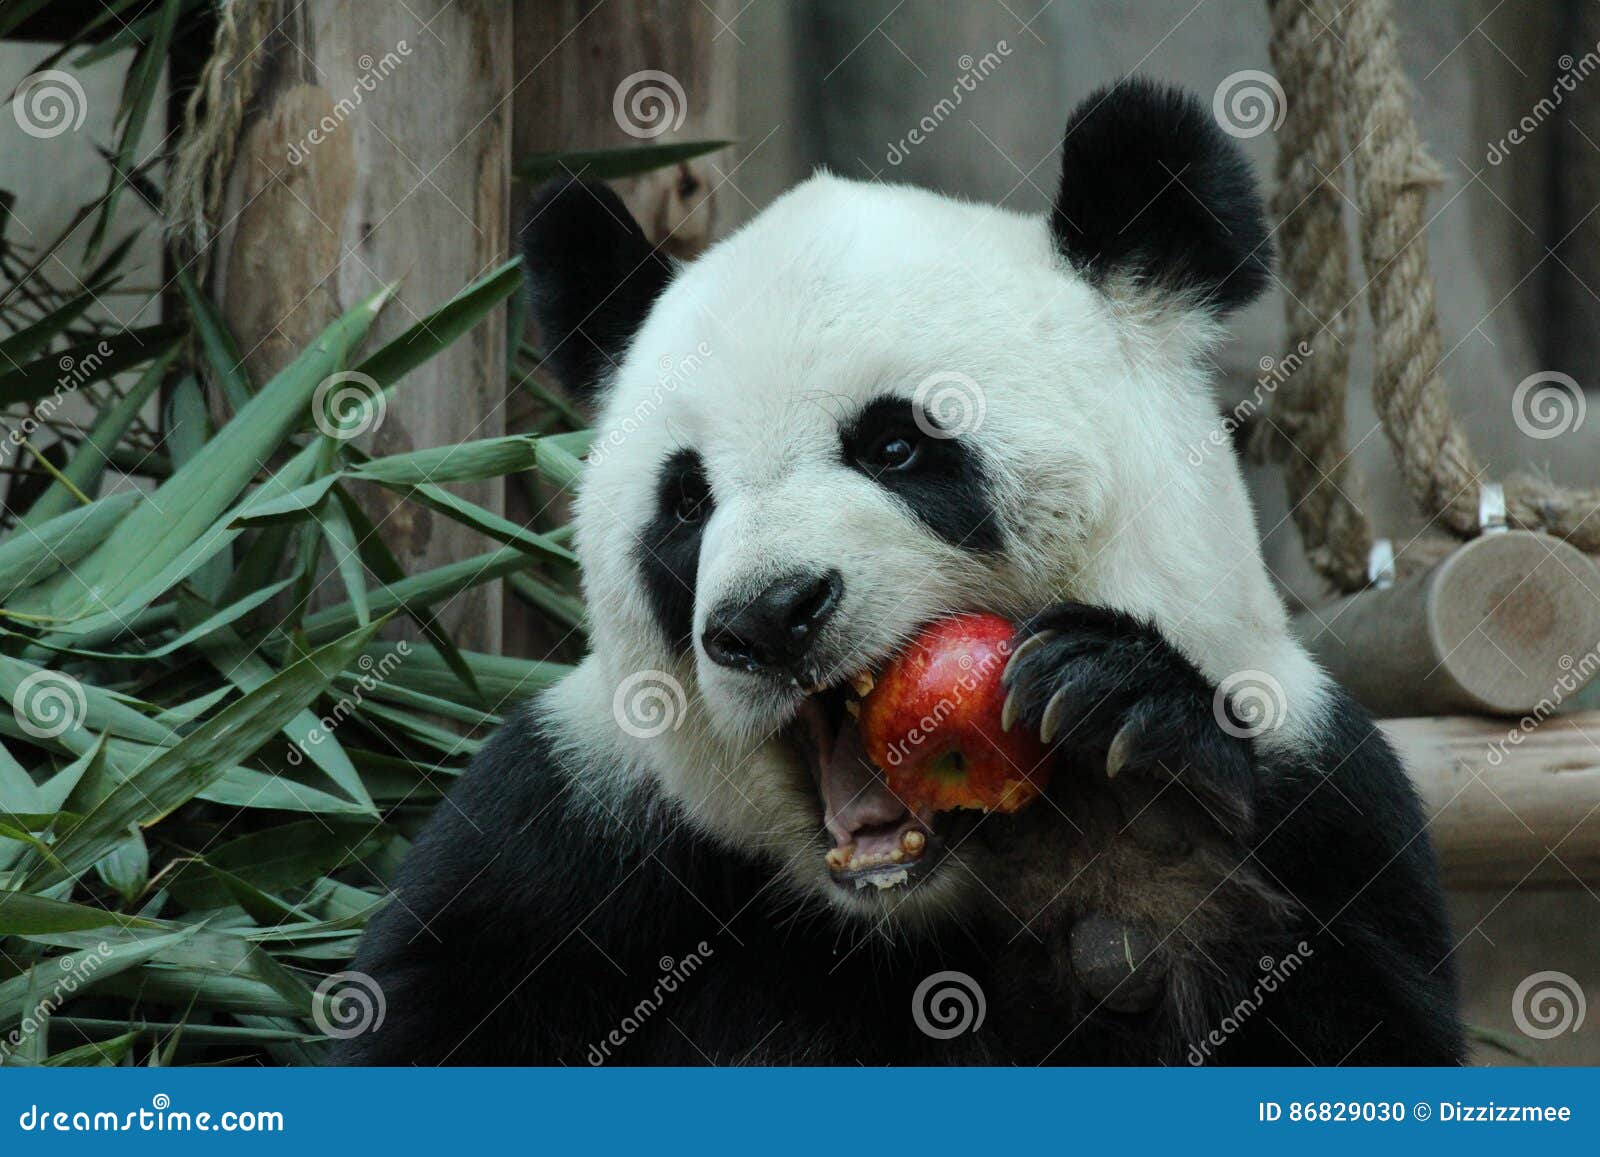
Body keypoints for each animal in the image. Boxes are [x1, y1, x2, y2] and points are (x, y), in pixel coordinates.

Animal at [334, 79, 1464, 1066]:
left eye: (896, 446)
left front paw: (1146, 780)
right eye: (687, 504)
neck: (905, 908)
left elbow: (1363, 1020)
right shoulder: (566, 833)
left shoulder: (1321, 793)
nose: (770, 615)